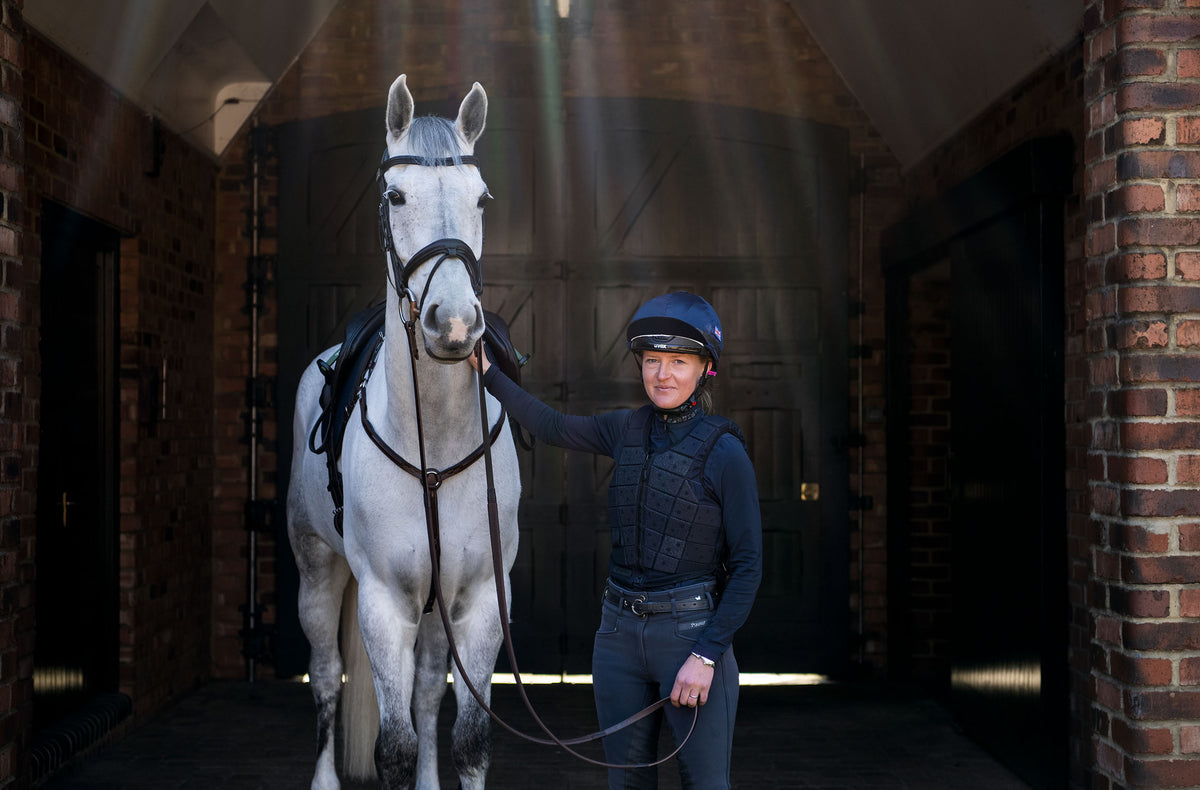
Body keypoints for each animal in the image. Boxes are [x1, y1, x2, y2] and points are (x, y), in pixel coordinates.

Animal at [286, 75, 520, 790]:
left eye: (483, 198)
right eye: (395, 196)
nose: (454, 323)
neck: (436, 447)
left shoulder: (480, 600)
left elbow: (467, 738)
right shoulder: (385, 603)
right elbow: (389, 747)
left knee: (423, 691)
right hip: (318, 571)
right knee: (326, 679)